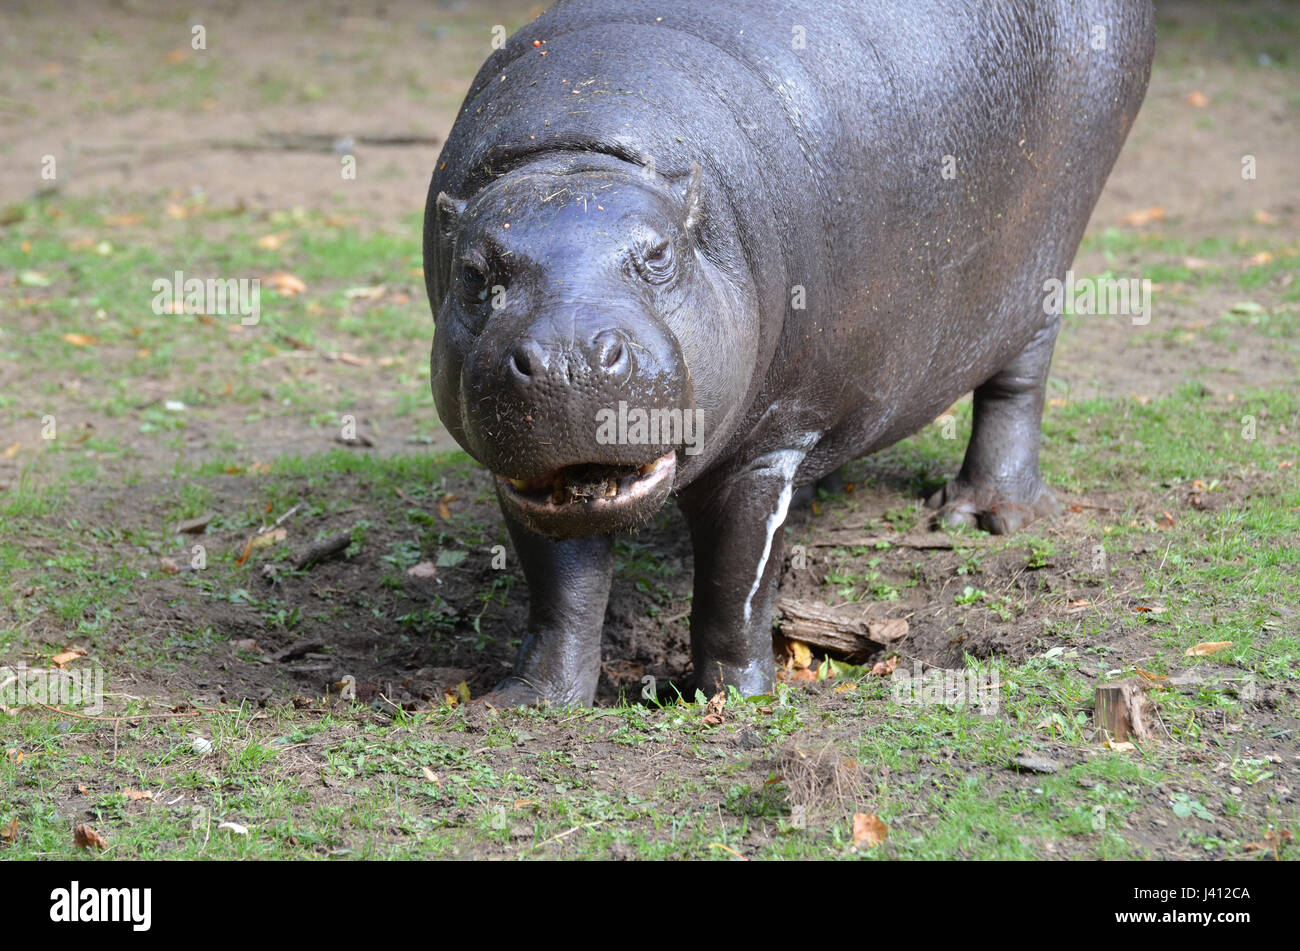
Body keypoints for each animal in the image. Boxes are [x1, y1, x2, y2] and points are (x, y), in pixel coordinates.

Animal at [424, 0, 1155, 705]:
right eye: (473, 272)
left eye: (659, 255)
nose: (567, 355)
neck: (576, 150)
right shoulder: (520, 470)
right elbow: (561, 590)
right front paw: (528, 702)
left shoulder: (769, 440)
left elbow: (735, 582)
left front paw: (733, 698)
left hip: (1045, 261)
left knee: (1017, 385)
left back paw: (983, 515)